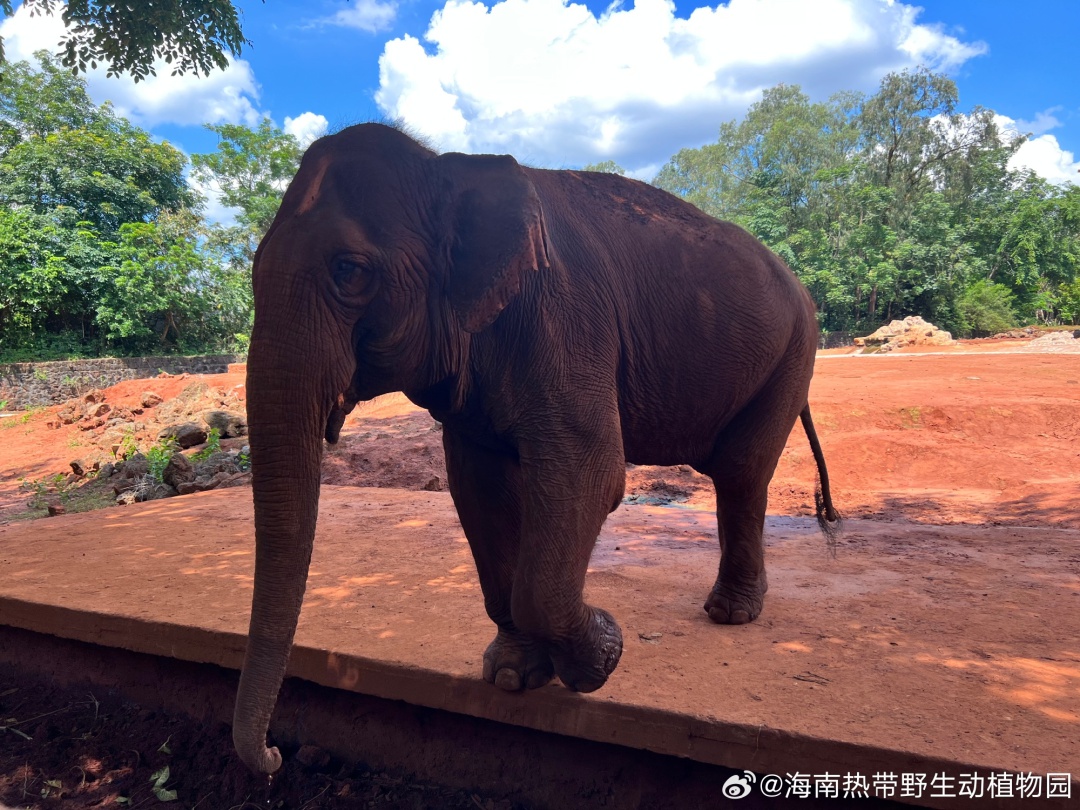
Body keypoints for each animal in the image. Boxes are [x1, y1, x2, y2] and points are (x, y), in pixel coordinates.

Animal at [233, 123, 840, 774]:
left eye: (349, 270)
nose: (276, 755)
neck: (448, 169)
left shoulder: (566, 317)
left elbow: (591, 470)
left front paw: (603, 654)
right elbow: (479, 485)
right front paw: (512, 676)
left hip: (794, 353)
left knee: (741, 473)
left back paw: (731, 615)